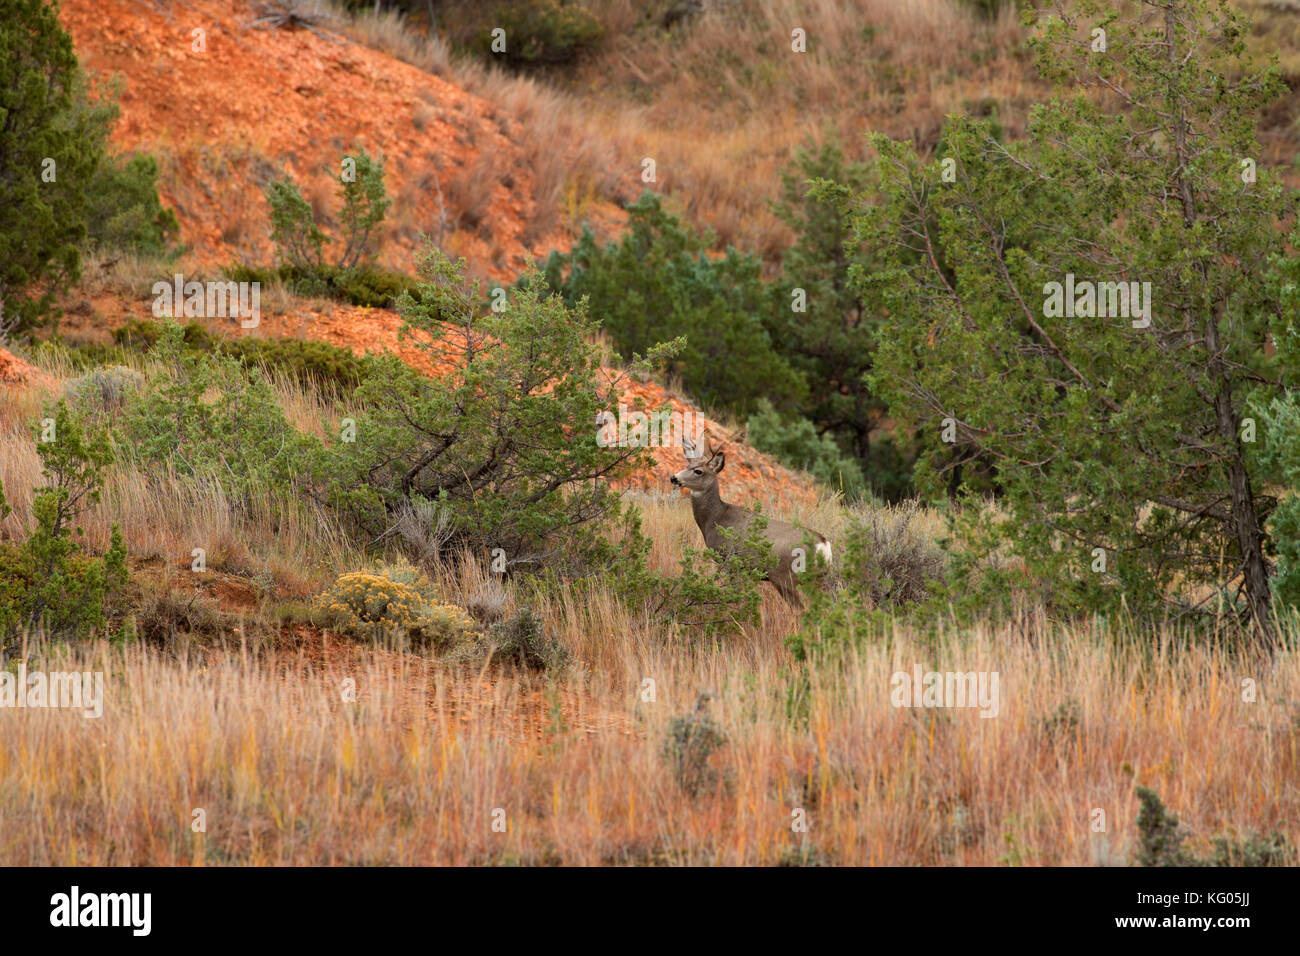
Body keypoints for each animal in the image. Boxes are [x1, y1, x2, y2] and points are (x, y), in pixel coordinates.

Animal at [670, 430, 831, 605]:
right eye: (687, 466)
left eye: (699, 471)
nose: (674, 478)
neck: (716, 519)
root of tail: (823, 544)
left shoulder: (730, 559)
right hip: (816, 580)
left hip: (785, 576)